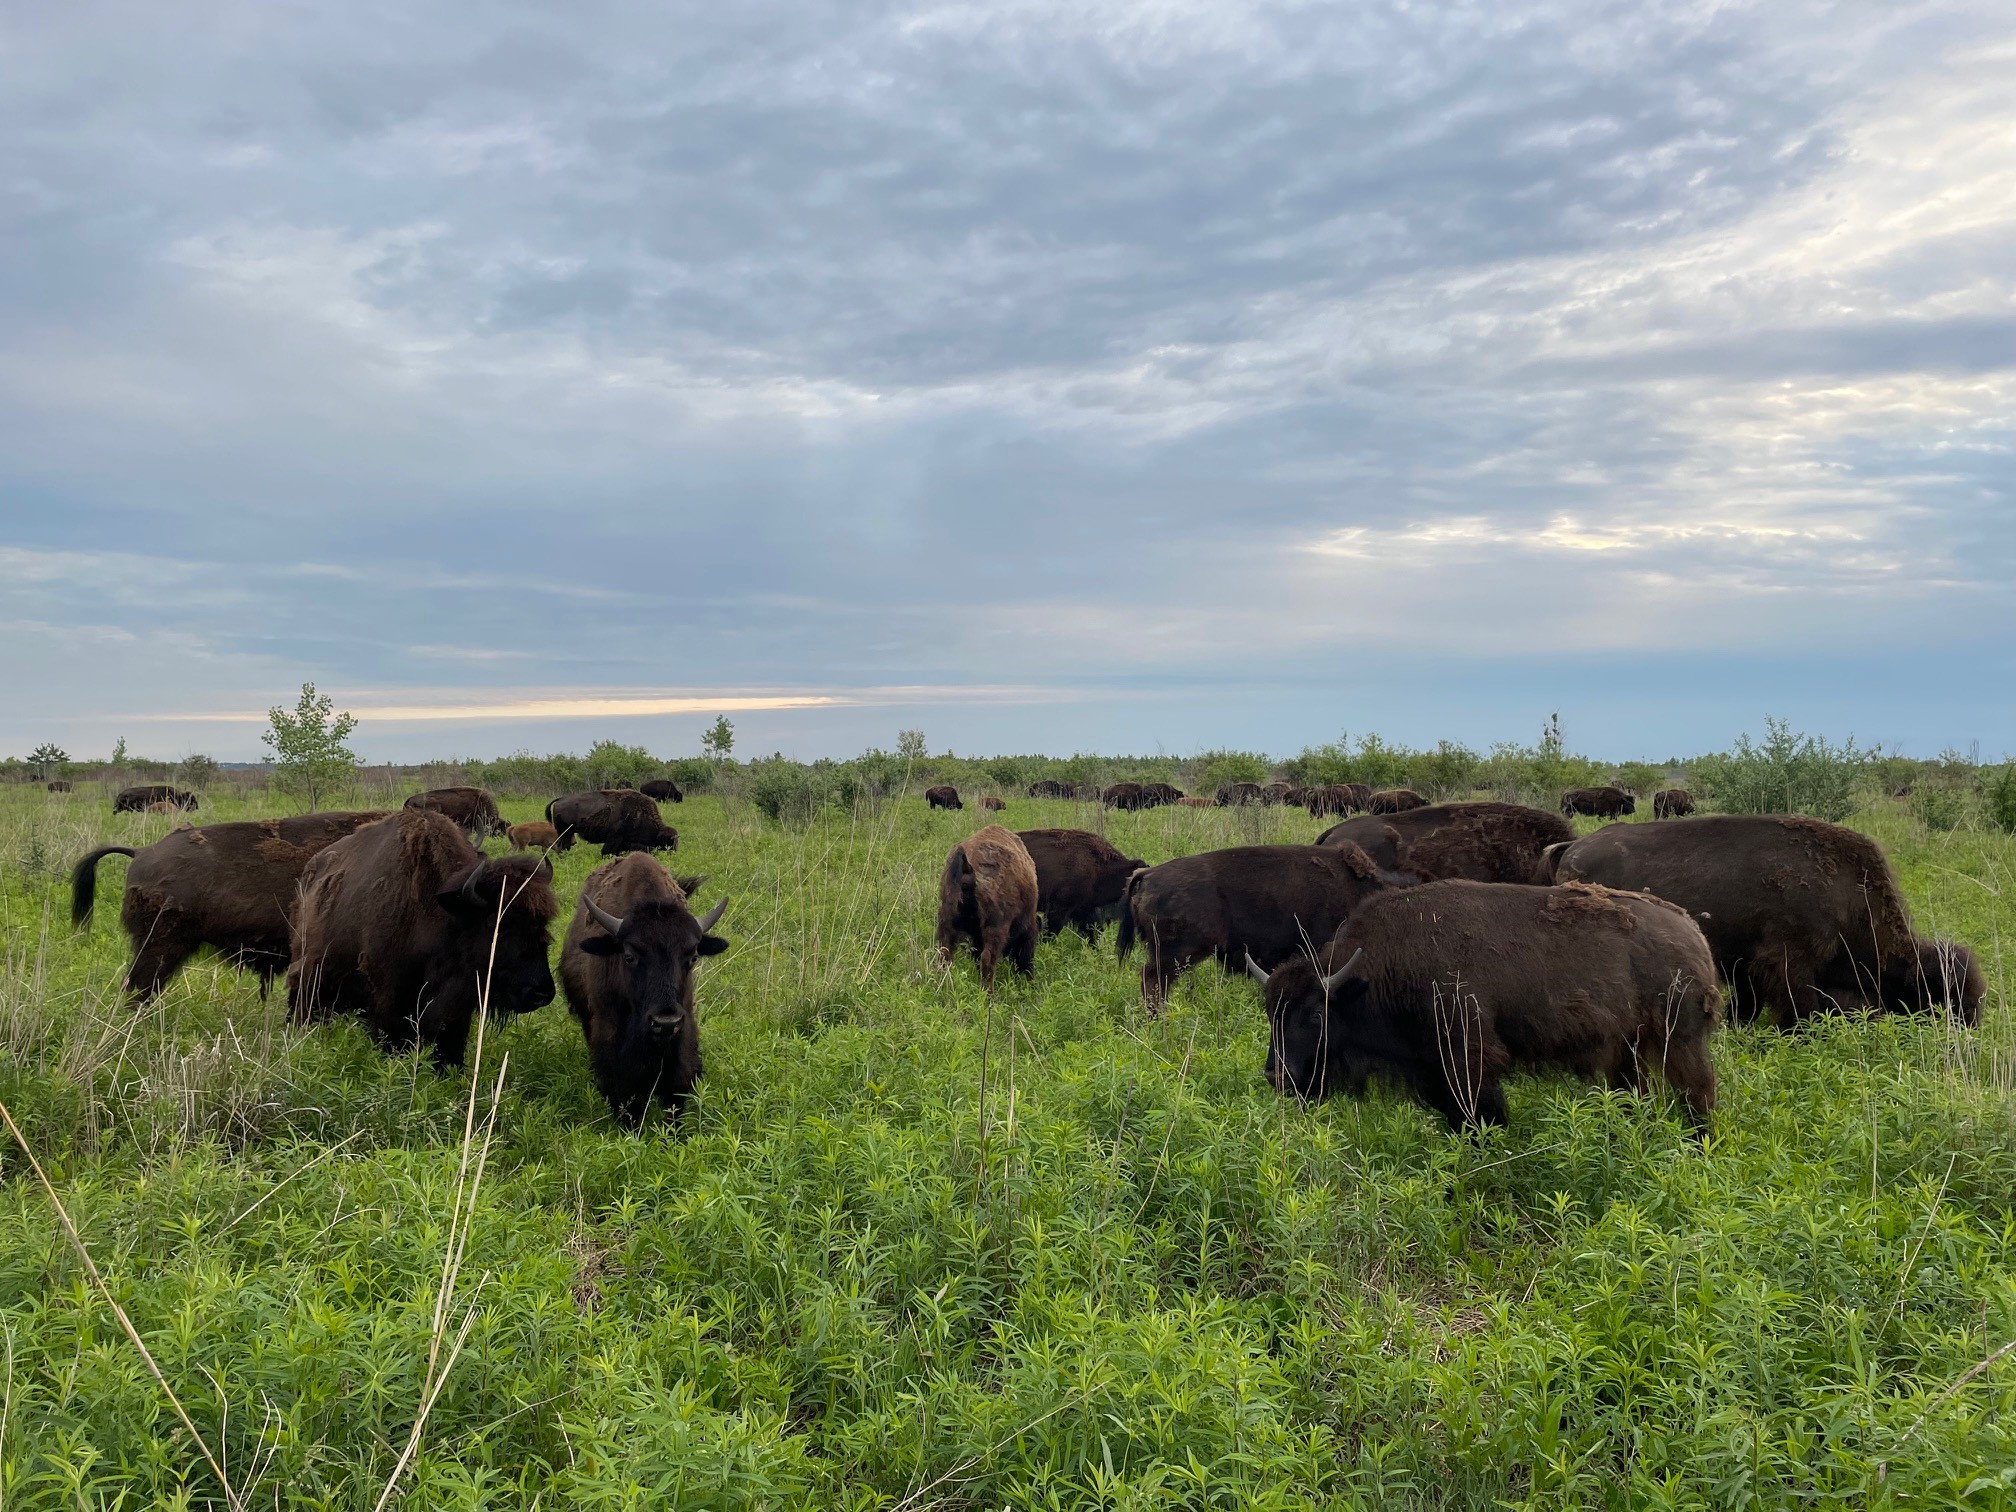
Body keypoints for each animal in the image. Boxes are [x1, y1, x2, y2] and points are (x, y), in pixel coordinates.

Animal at [288, 809, 558, 1067]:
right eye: (496, 923)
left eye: (543, 923)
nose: (542, 993)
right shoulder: (389, 1008)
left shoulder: (455, 1017)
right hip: (309, 980)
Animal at [546, 790, 679, 855]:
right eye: (670, 841)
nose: (674, 853)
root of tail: (560, 800)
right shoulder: (615, 837)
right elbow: (607, 851)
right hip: (565, 834)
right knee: (563, 847)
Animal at [935, 825, 1039, 989]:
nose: (1029, 977)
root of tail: (968, 866)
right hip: (995, 926)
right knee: (987, 959)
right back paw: (988, 993)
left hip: (947, 920)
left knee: (945, 954)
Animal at [1252, 880, 1720, 1131]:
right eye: (1270, 1012)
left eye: (1315, 1014)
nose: (1276, 1075)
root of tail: (1692, 932)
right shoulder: (1435, 1073)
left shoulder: (1471, 1062)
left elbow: (1482, 1119)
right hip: (1627, 1051)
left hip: (1680, 1042)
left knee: (1699, 1093)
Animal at [1544, 814, 1985, 1028]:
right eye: (1938, 995)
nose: (1967, 1030)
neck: (1847, 893)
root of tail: (1573, 848)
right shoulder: (1788, 963)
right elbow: (1799, 1008)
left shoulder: (1747, 968)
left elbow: (1748, 1008)